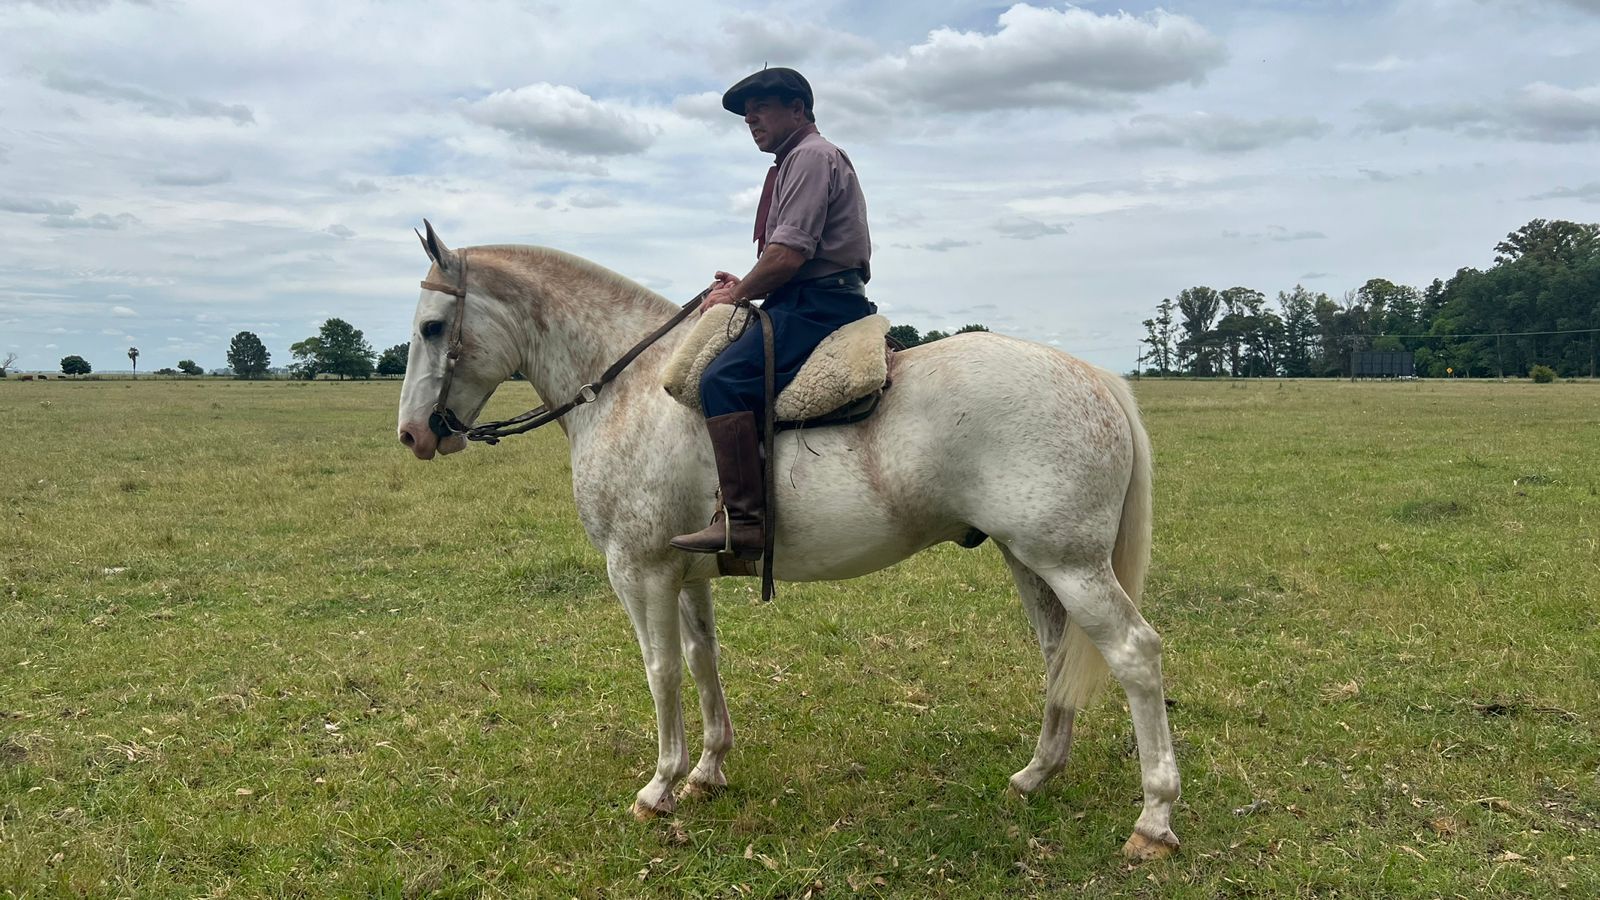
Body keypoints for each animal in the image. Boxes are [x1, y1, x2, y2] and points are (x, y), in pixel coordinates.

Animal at [394, 225, 1182, 861]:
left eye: (432, 327)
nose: (413, 434)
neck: (632, 387)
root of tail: (1095, 377)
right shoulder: (688, 575)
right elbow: (702, 661)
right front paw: (708, 770)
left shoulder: (639, 571)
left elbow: (661, 671)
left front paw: (660, 786)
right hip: (1030, 561)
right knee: (1057, 656)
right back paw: (1036, 775)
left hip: (1071, 565)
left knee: (1134, 655)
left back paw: (1153, 819)